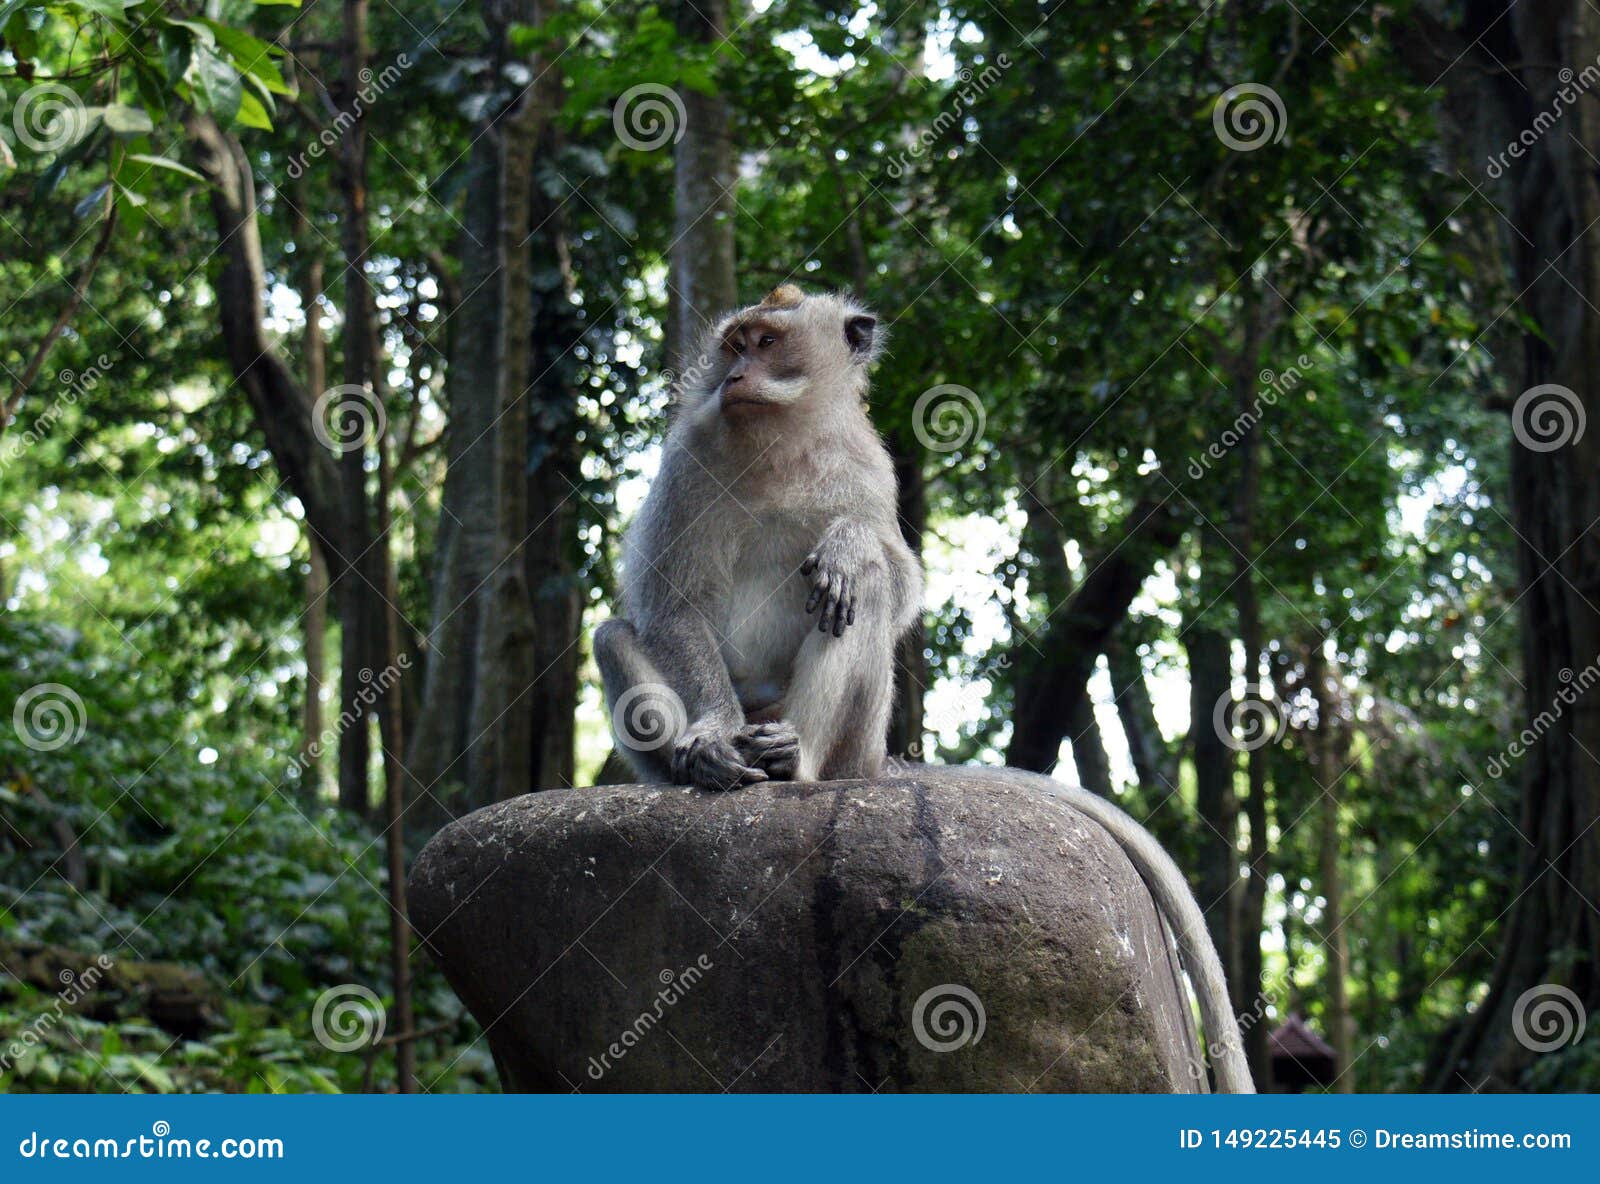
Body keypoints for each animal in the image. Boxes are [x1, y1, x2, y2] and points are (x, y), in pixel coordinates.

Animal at [596, 284, 923, 791]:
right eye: (736, 346)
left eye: (767, 342)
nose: (734, 376)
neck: (780, 446)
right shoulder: (685, 461)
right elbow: (674, 605)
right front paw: (712, 734)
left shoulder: (868, 467)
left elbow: (901, 586)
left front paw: (849, 543)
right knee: (611, 636)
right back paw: (701, 764)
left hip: (856, 751)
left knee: (865, 586)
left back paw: (794, 758)